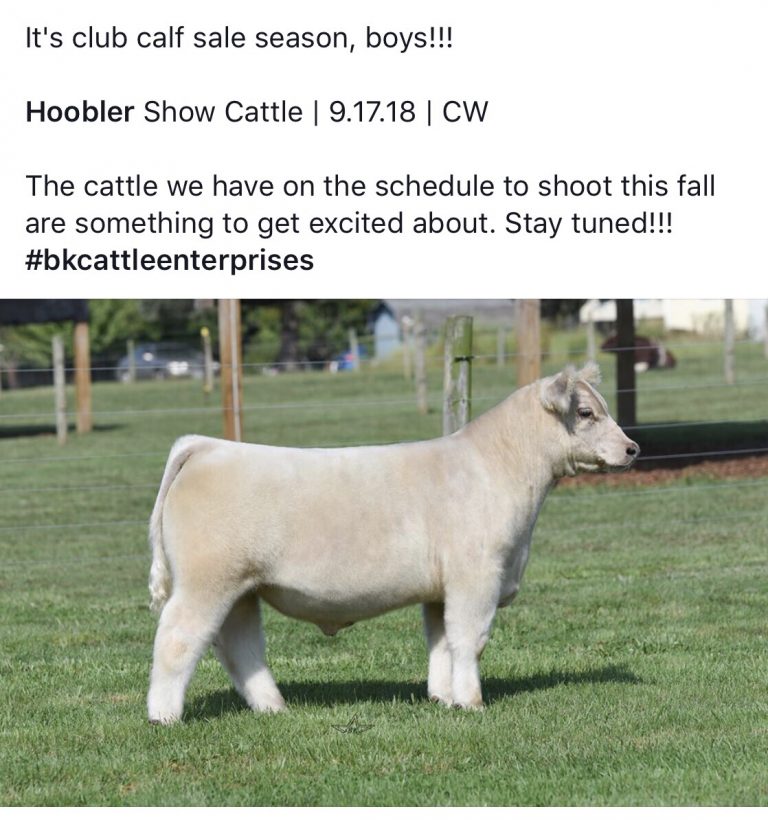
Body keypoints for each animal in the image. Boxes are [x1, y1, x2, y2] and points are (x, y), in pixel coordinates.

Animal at [147, 363, 639, 724]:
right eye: (586, 413)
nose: (633, 449)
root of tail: (208, 446)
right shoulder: (477, 576)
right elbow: (470, 639)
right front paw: (472, 701)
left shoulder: (441, 589)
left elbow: (441, 642)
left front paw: (443, 698)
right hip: (207, 581)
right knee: (177, 638)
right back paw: (164, 716)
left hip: (242, 588)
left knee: (240, 647)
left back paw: (273, 707)